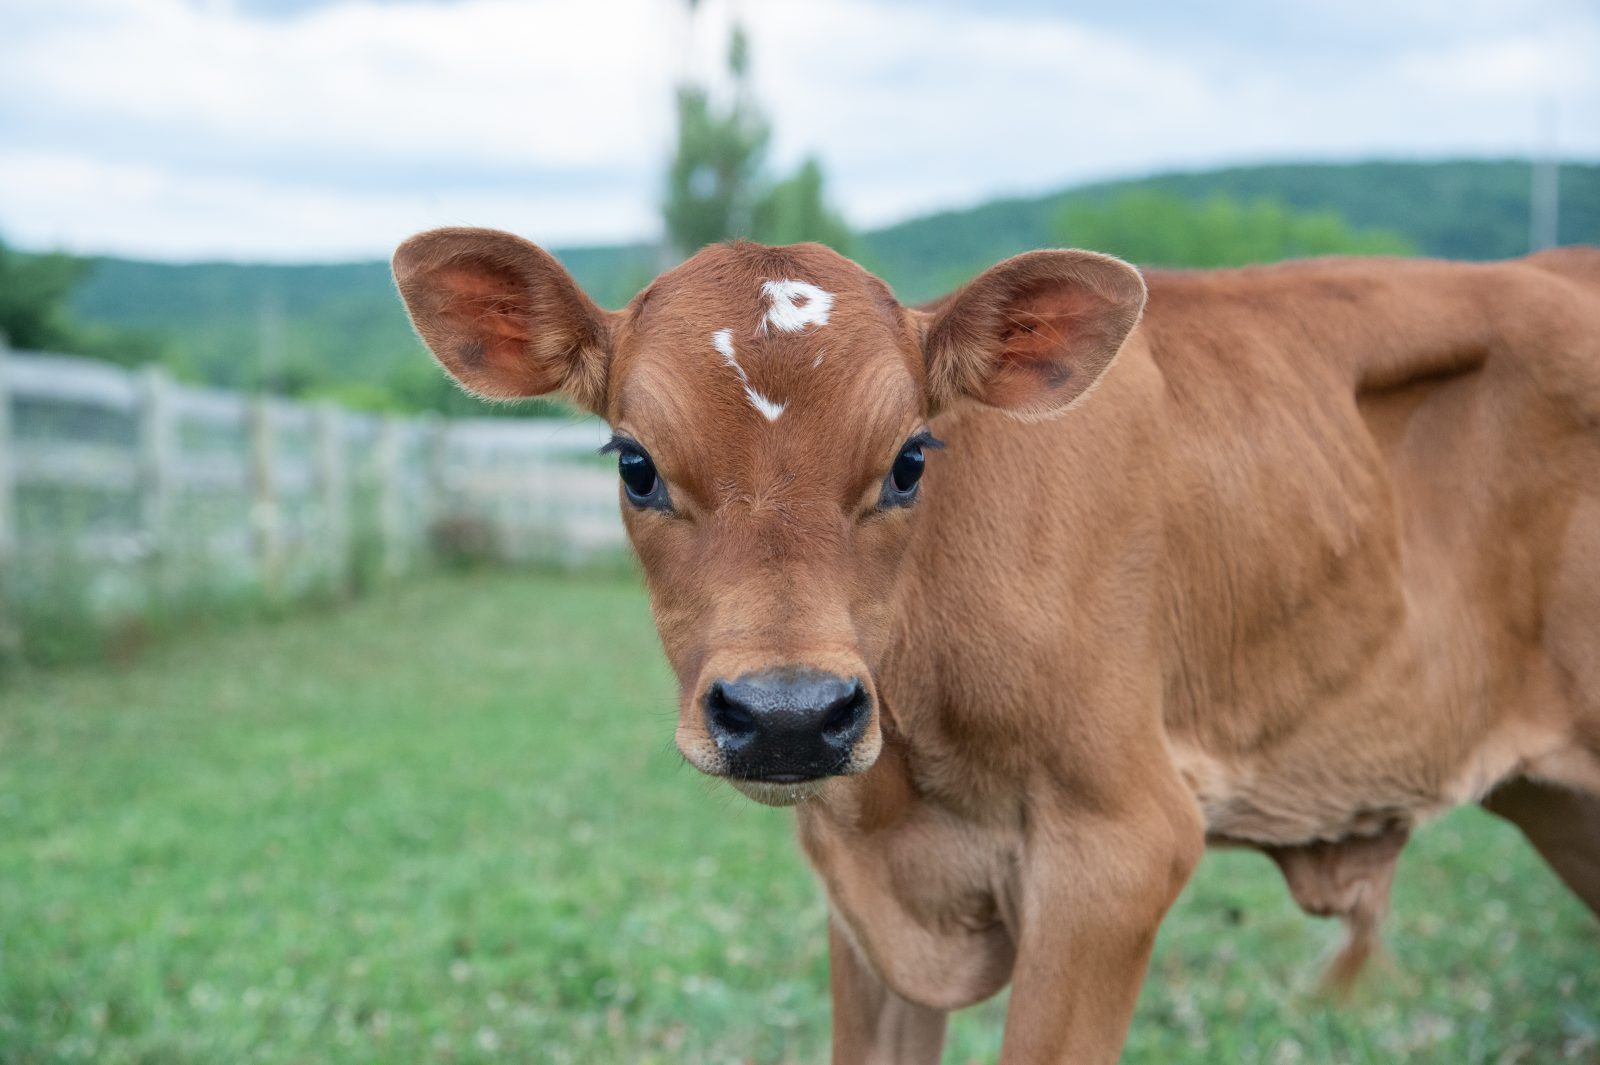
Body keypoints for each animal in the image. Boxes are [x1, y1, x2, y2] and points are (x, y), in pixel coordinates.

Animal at [393, 228, 1600, 1064]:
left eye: (910, 458)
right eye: (634, 462)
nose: (787, 714)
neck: (909, 791)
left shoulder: (1119, 846)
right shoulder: (861, 896)